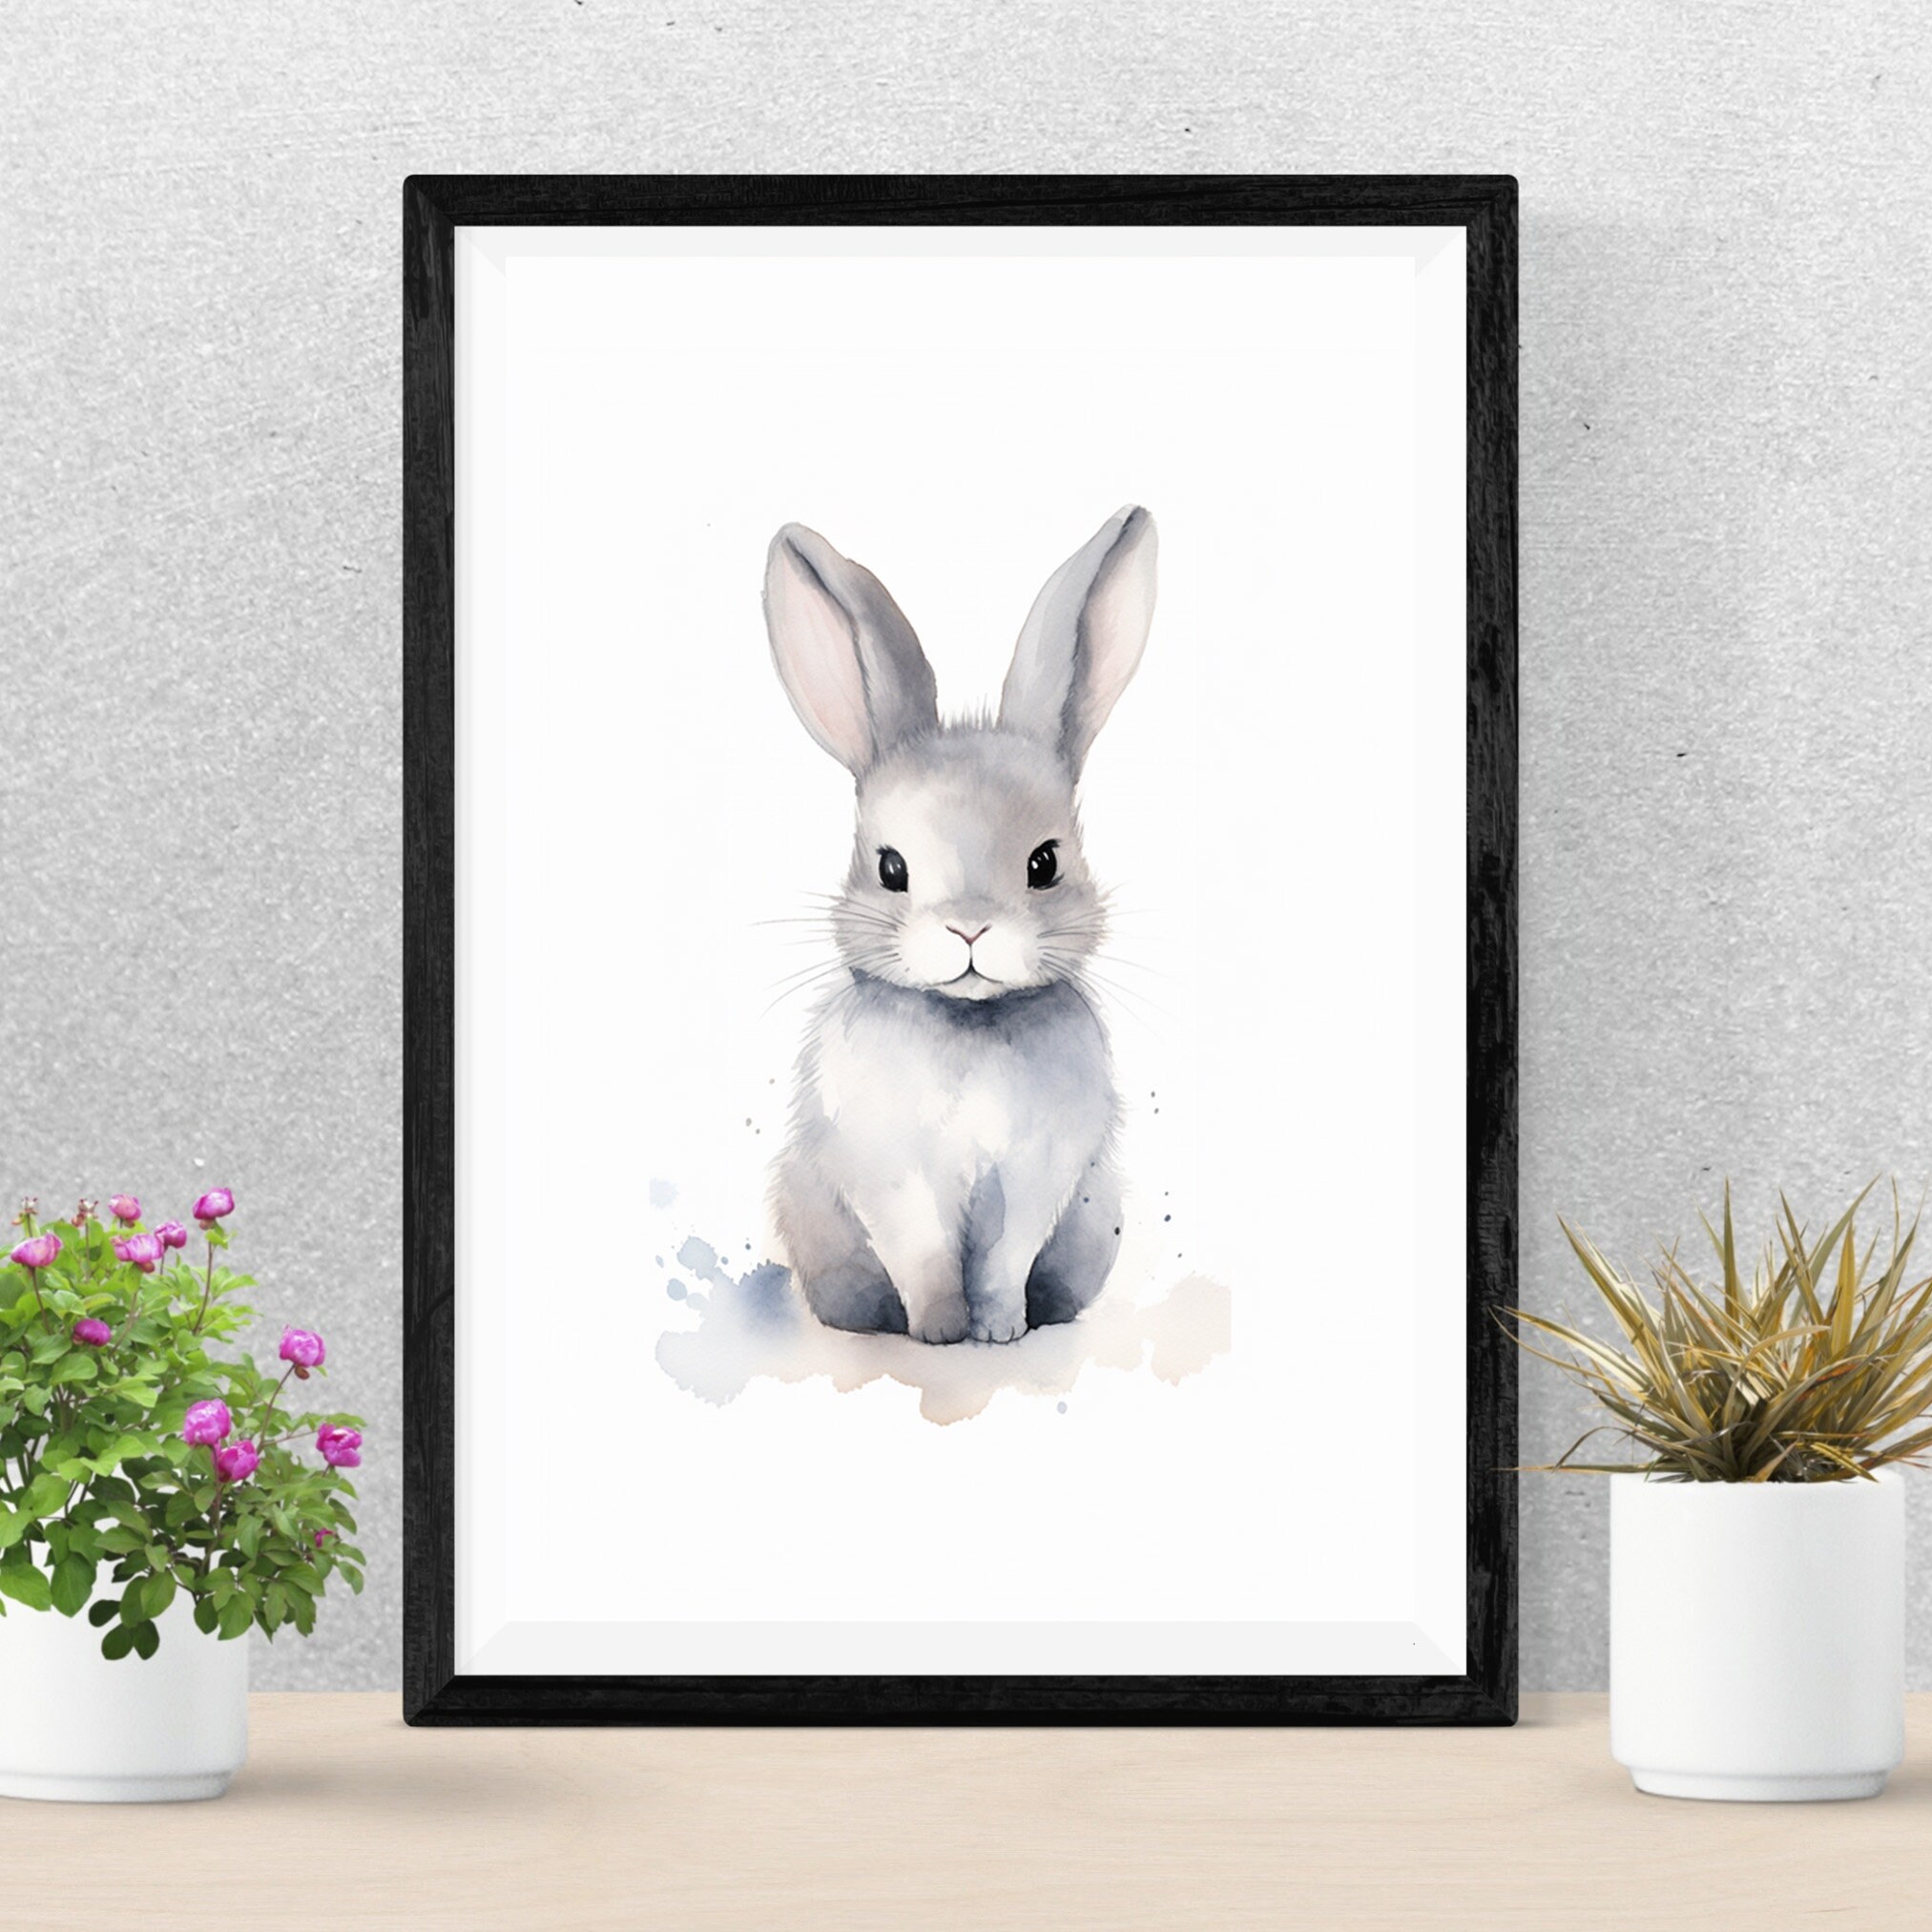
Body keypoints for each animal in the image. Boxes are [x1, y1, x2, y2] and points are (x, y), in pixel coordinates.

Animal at [762, 506, 1157, 1344]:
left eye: (1045, 863)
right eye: (890, 868)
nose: (969, 931)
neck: (969, 1024)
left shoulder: (1035, 1176)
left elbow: (1004, 1260)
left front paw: (999, 1331)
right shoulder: (893, 1178)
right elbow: (924, 1256)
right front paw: (941, 1333)